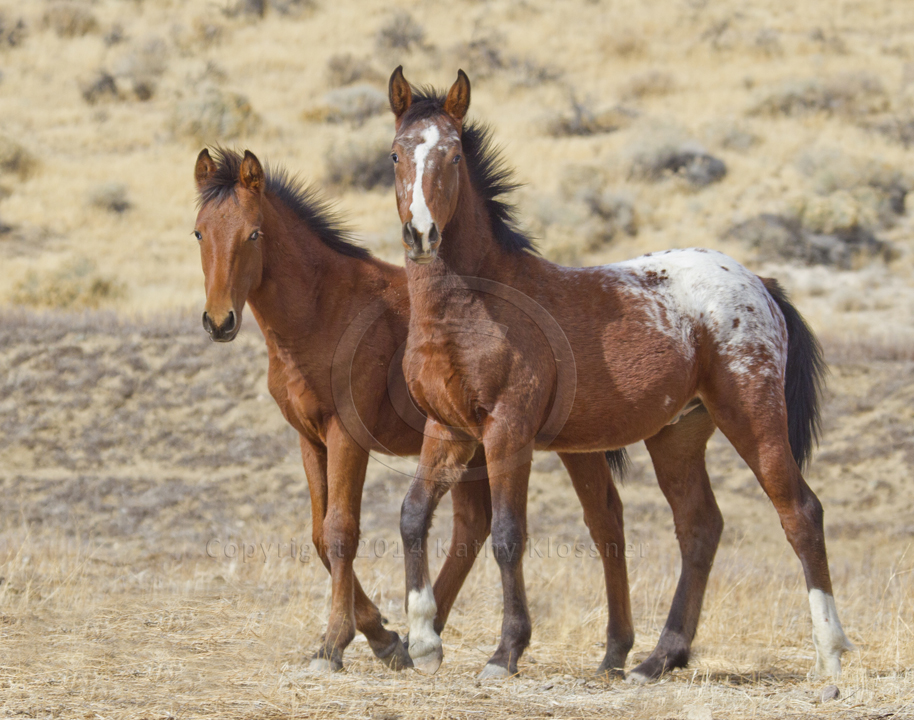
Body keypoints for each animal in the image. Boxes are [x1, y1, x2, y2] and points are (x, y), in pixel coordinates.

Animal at [192, 147, 631, 675]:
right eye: (199, 232)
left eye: (253, 233)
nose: (219, 321)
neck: (324, 308)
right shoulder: (309, 438)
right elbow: (320, 534)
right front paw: (382, 636)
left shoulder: (347, 436)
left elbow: (340, 531)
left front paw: (335, 644)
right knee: (475, 525)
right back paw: (422, 635)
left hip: (564, 442)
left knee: (602, 519)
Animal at [387, 67, 854, 682]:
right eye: (396, 154)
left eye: (455, 154)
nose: (421, 235)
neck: (473, 302)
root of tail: (759, 282)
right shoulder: (448, 431)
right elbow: (413, 515)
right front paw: (422, 641)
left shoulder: (508, 431)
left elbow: (508, 535)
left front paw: (505, 652)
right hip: (678, 436)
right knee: (700, 526)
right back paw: (658, 658)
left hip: (752, 416)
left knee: (800, 511)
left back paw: (830, 653)